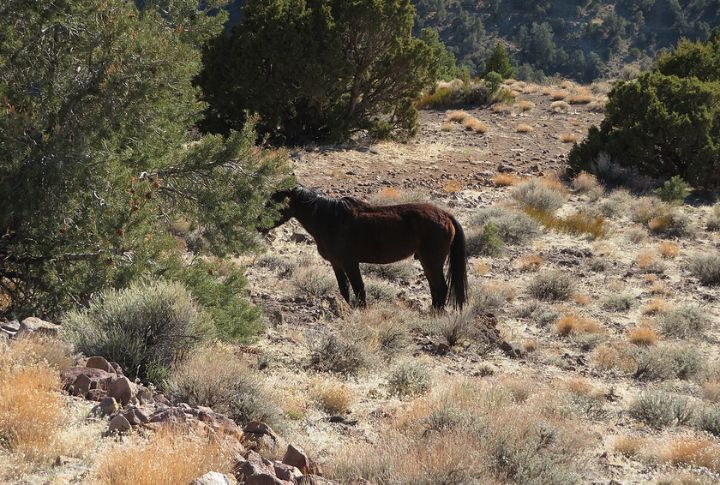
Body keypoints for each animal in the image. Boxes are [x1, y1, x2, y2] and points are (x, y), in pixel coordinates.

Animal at [263, 186, 468, 310]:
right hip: (428, 262)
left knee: (440, 288)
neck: (329, 219)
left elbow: (359, 289)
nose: (260, 225)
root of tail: (446, 215)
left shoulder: (350, 263)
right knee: (435, 289)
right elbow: (344, 289)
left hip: (432, 261)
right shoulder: (337, 263)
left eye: (276, 202)